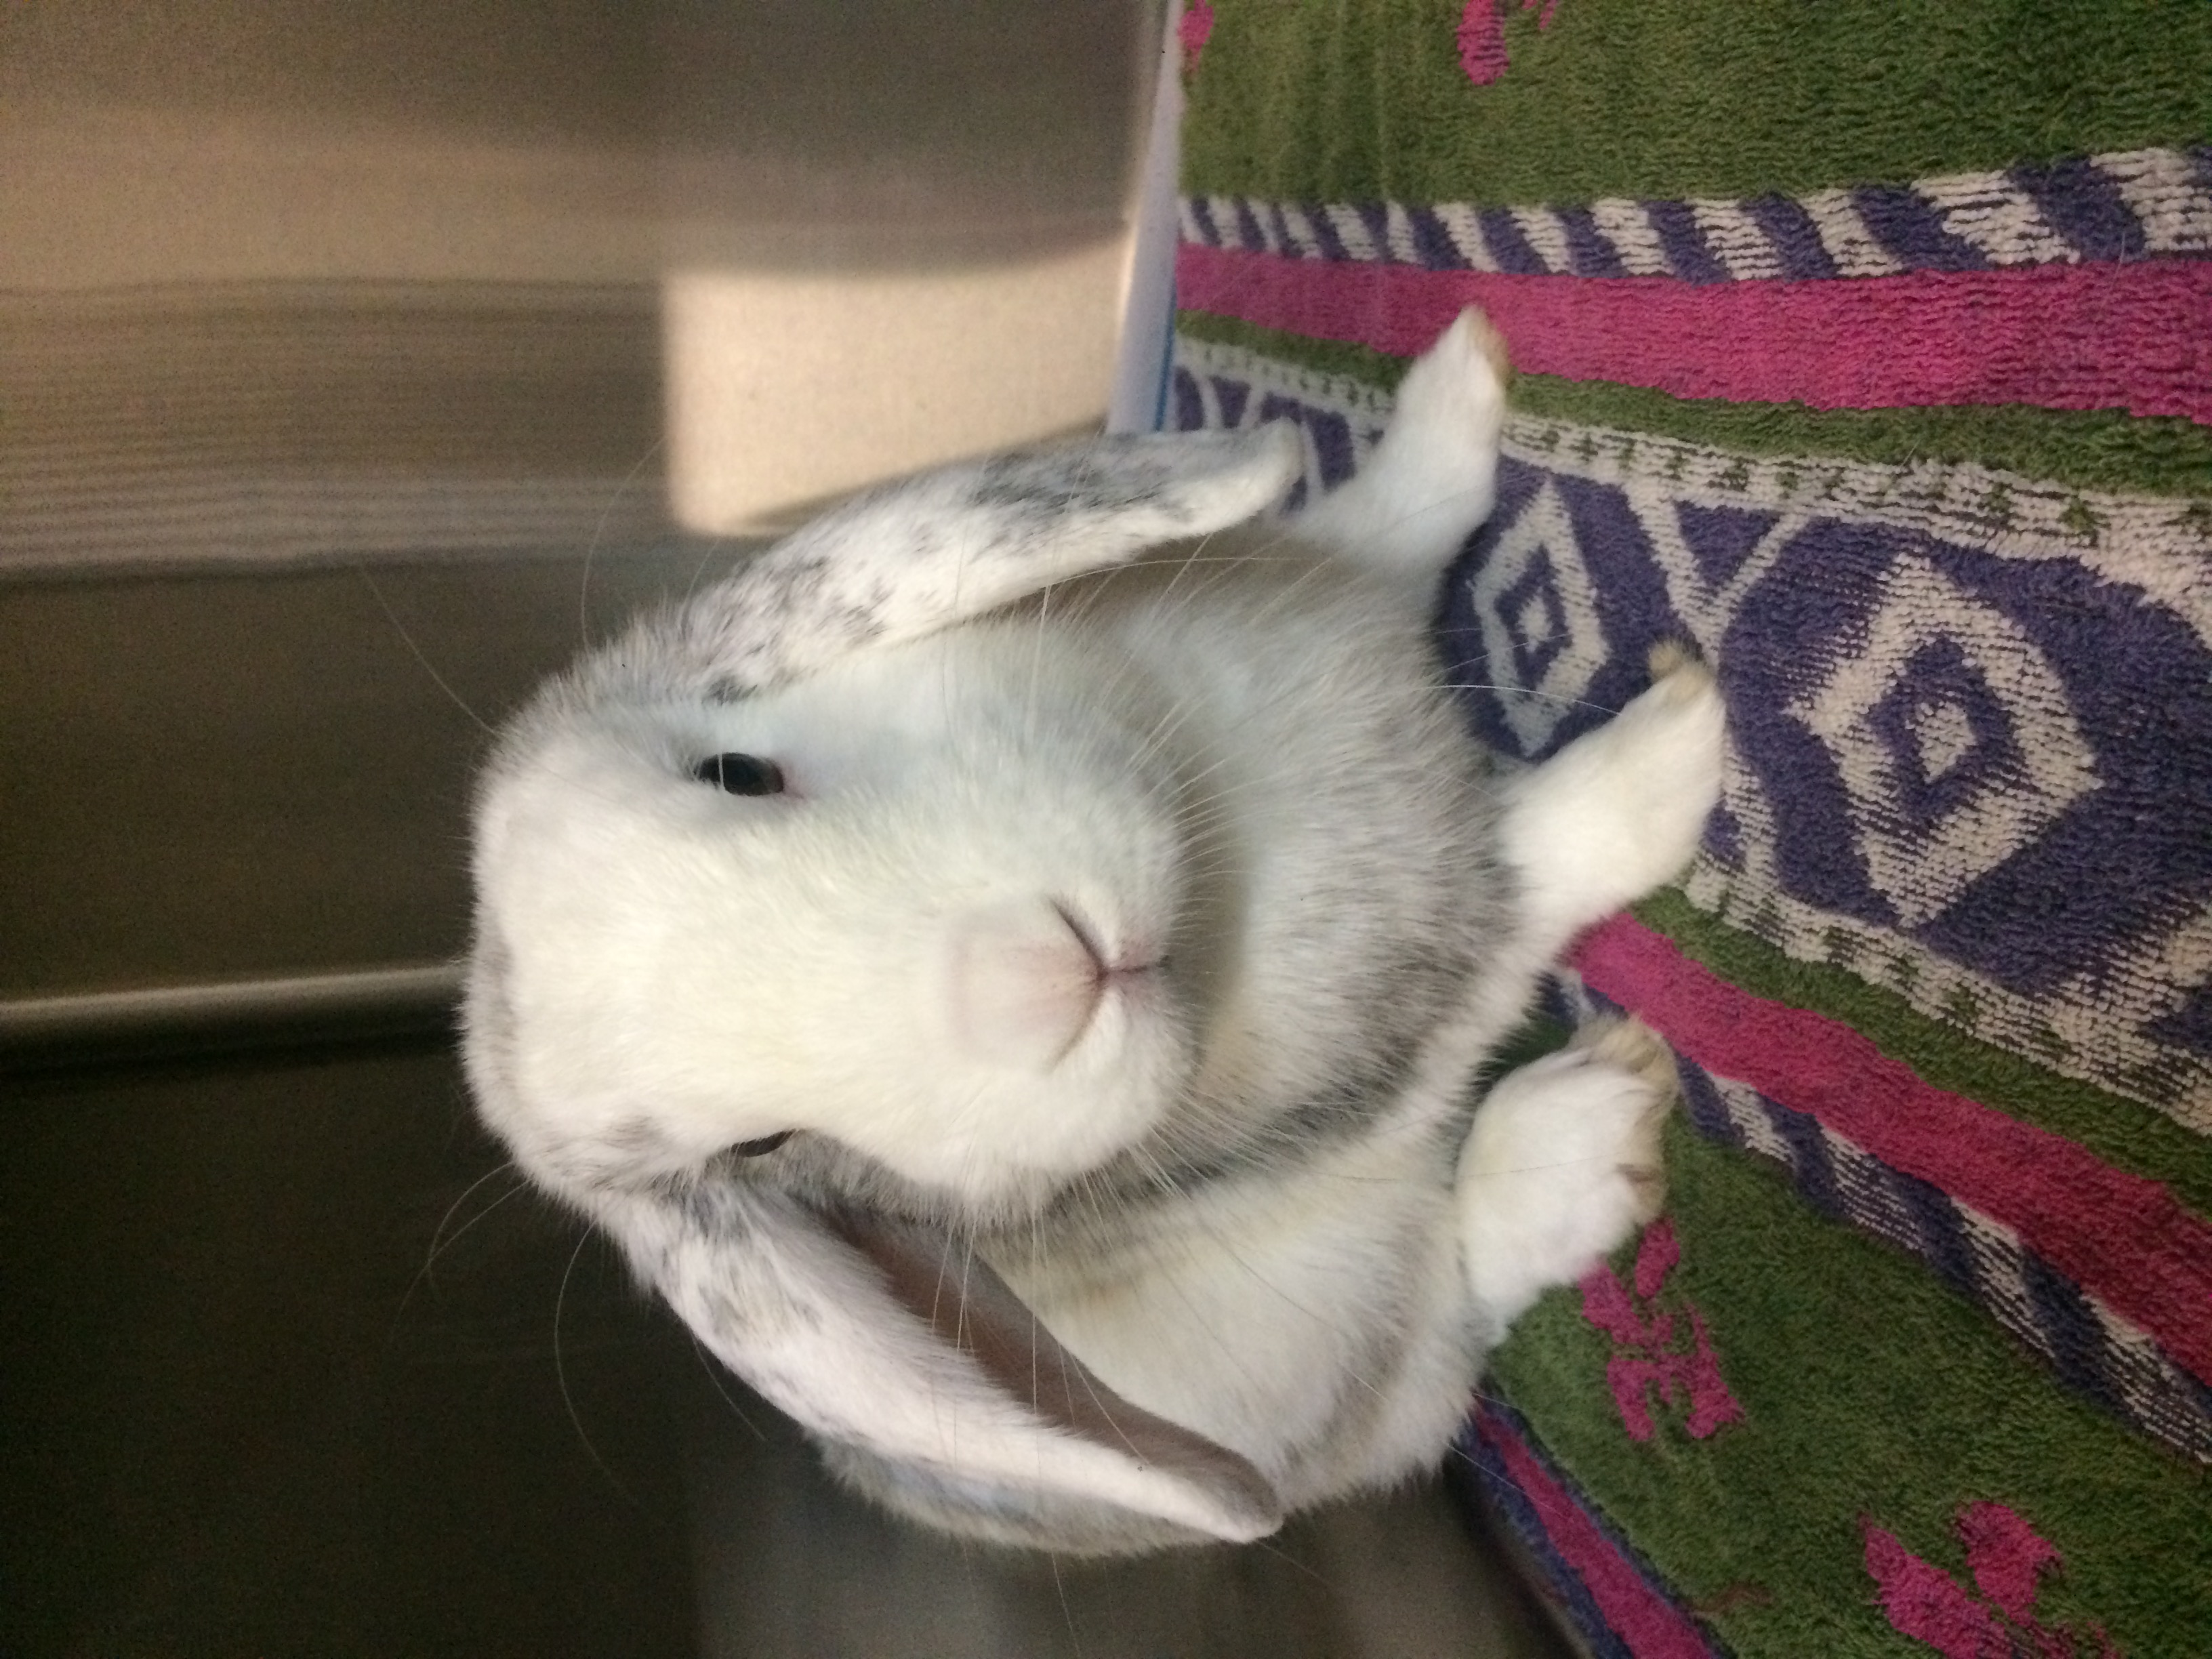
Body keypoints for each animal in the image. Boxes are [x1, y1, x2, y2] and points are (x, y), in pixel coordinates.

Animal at [461, 308, 1725, 1555]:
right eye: (762, 1149)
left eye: (733, 771)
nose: (1038, 979)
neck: (1215, 853)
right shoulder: (1410, 1010)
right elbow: (1527, 870)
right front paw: (1672, 745)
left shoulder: (1324, 571)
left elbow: (1391, 522)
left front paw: (1463, 378)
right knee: (1449, 1312)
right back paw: (1594, 1125)